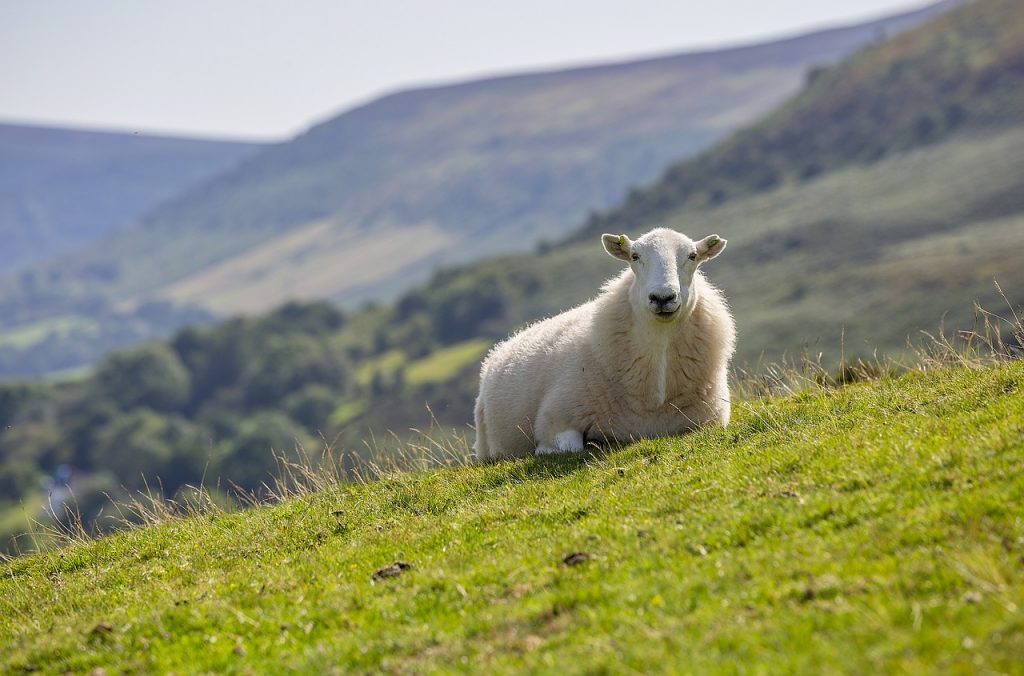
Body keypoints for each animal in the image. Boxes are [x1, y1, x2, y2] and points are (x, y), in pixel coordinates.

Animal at [473, 227, 735, 461]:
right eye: (634, 256)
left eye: (692, 256)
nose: (663, 297)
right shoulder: (556, 418)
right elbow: (568, 447)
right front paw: (545, 450)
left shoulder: (711, 421)